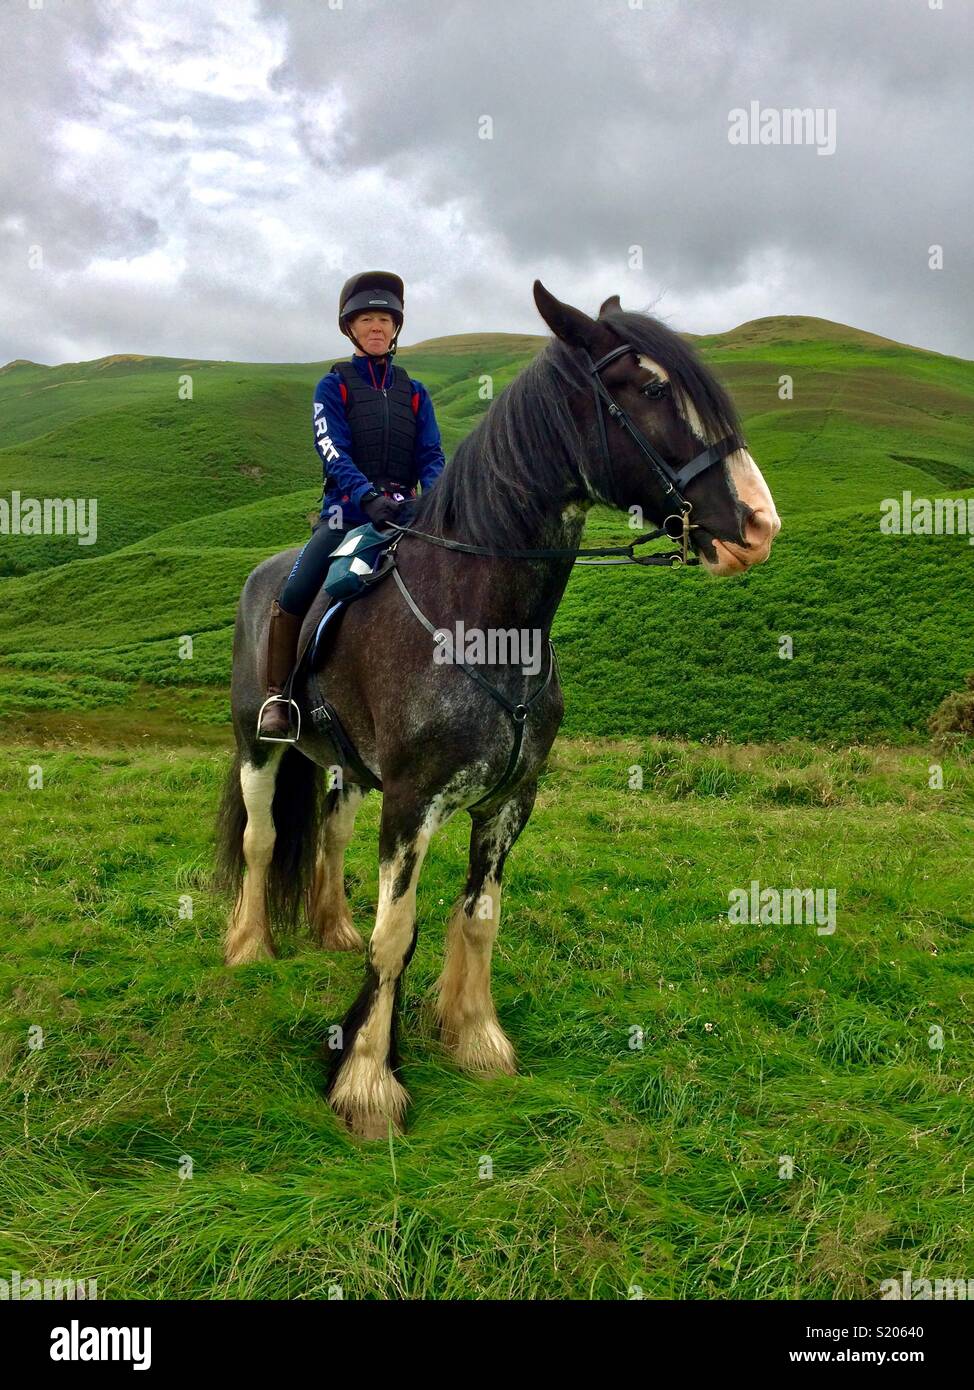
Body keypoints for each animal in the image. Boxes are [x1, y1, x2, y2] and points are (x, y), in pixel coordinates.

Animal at [214, 280, 780, 1138]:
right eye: (649, 390)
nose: (757, 524)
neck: (481, 616)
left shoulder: (511, 800)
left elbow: (479, 917)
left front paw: (478, 1040)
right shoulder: (412, 803)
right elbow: (396, 937)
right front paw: (368, 1082)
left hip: (348, 767)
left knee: (330, 835)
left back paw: (330, 926)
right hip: (260, 743)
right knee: (261, 837)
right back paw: (249, 945)